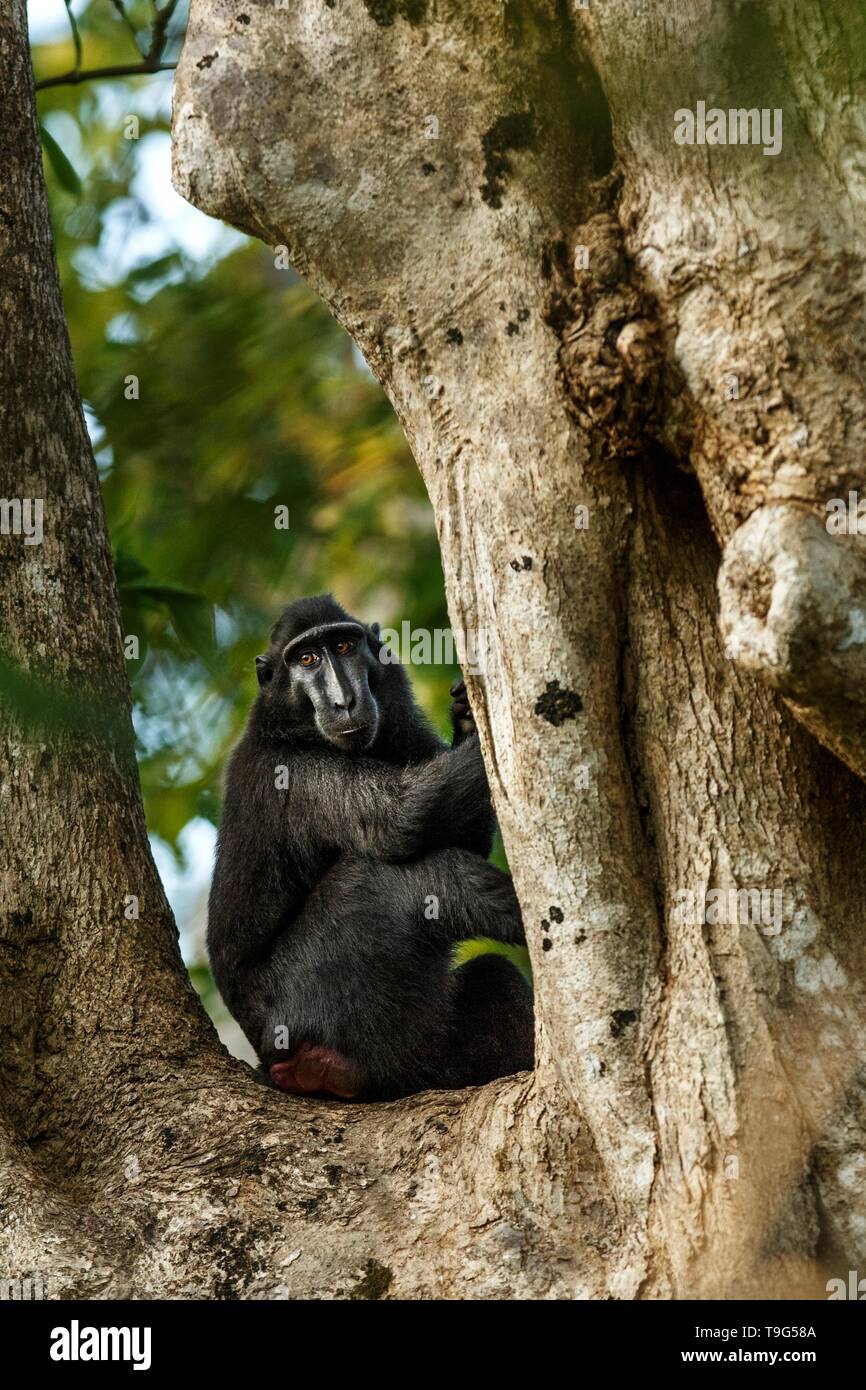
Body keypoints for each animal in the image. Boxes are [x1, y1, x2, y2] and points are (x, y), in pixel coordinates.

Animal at [207, 594, 533, 1099]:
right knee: (401, 878)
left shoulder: (400, 724)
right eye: (306, 658)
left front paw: (466, 713)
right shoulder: (294, 773)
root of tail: (269, 1060)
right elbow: (399, 820)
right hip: (309, 1002)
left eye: (344, 645)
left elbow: (462, 837)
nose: (344, 702)